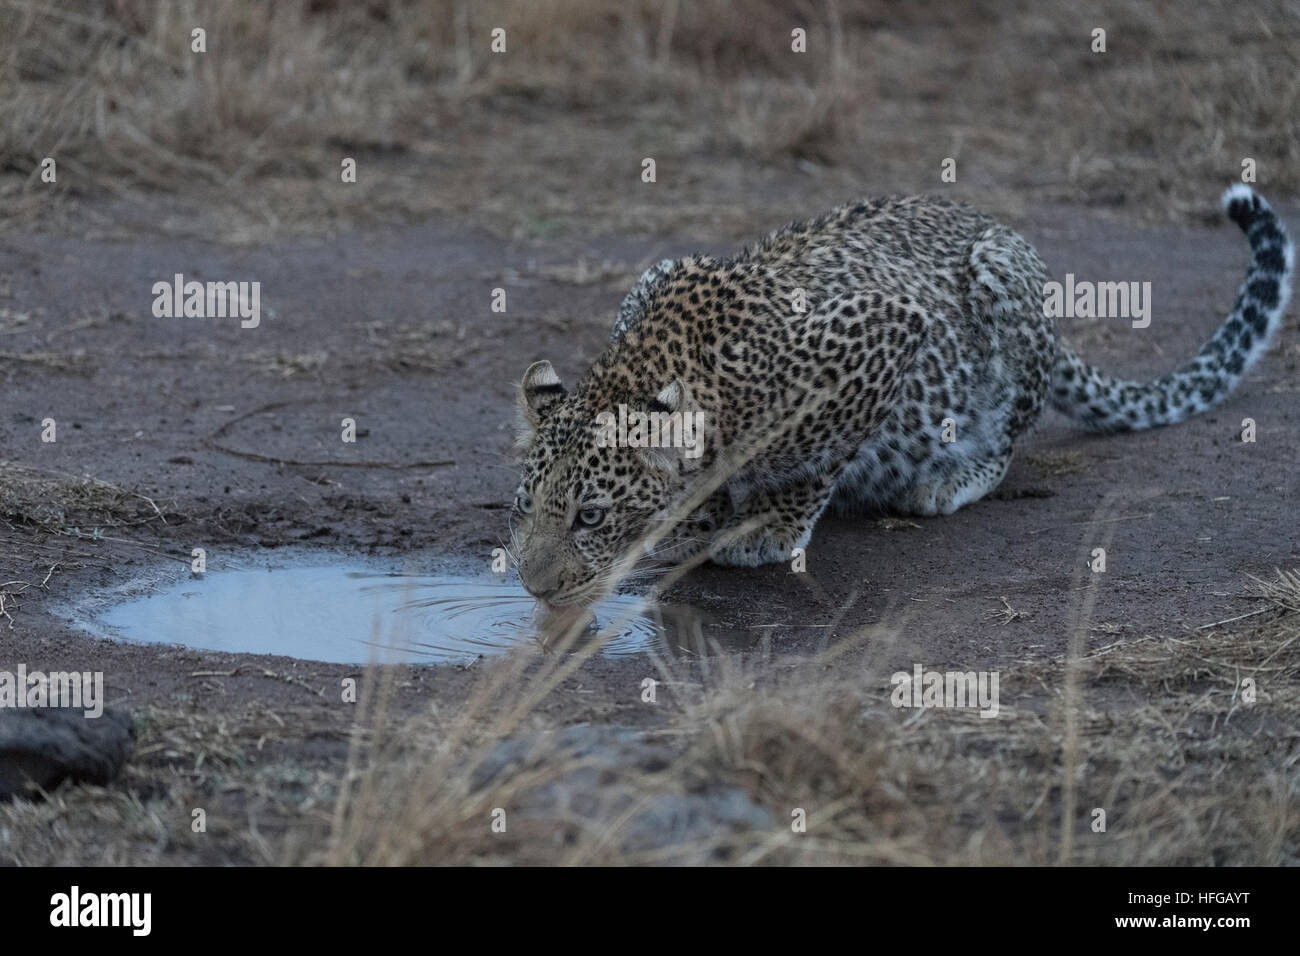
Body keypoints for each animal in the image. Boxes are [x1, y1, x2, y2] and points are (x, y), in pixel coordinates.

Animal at [509, 185, 1293, 609]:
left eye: (590, 516)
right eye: (525, 507)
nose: (533, 588)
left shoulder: (880, 337)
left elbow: (814, 459)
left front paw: (769, 526)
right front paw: (700, 516)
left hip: (1002, 276)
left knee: (1009, 431)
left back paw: (951, 476)